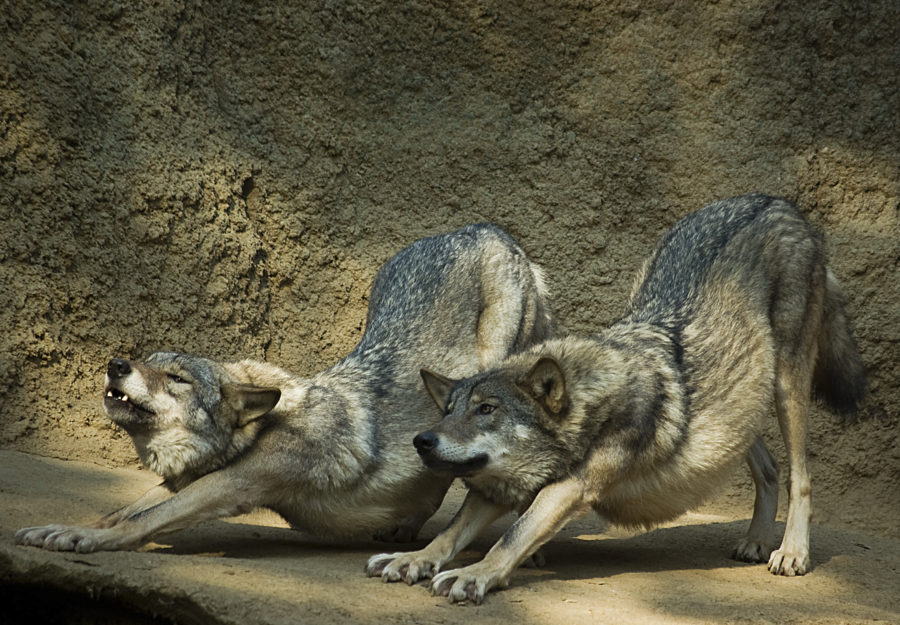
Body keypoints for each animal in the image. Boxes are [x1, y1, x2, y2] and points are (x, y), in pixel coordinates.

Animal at [15, 223, 556, 553]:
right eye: (149, 361)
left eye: (177, 379)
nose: (116, 364)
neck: (263, 428)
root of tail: (482, 229)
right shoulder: (190, 479)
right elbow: (118, 511)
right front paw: (63, 529)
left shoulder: (228, 485)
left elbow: (139, 520)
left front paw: (84, 541)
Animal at [367, 194, 865, 603]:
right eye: (449, 410)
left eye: (486, 410)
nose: (422, 441)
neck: (591, 401)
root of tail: (776, 202)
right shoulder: (500, 486)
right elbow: (450, 533)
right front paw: (410, 559)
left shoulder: (570, 486)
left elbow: (514, 535)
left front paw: (474, 575)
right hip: (738, 405)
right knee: (769, 466)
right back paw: (757, 540)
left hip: (786, 386)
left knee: (799, 475)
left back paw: (791, 551)